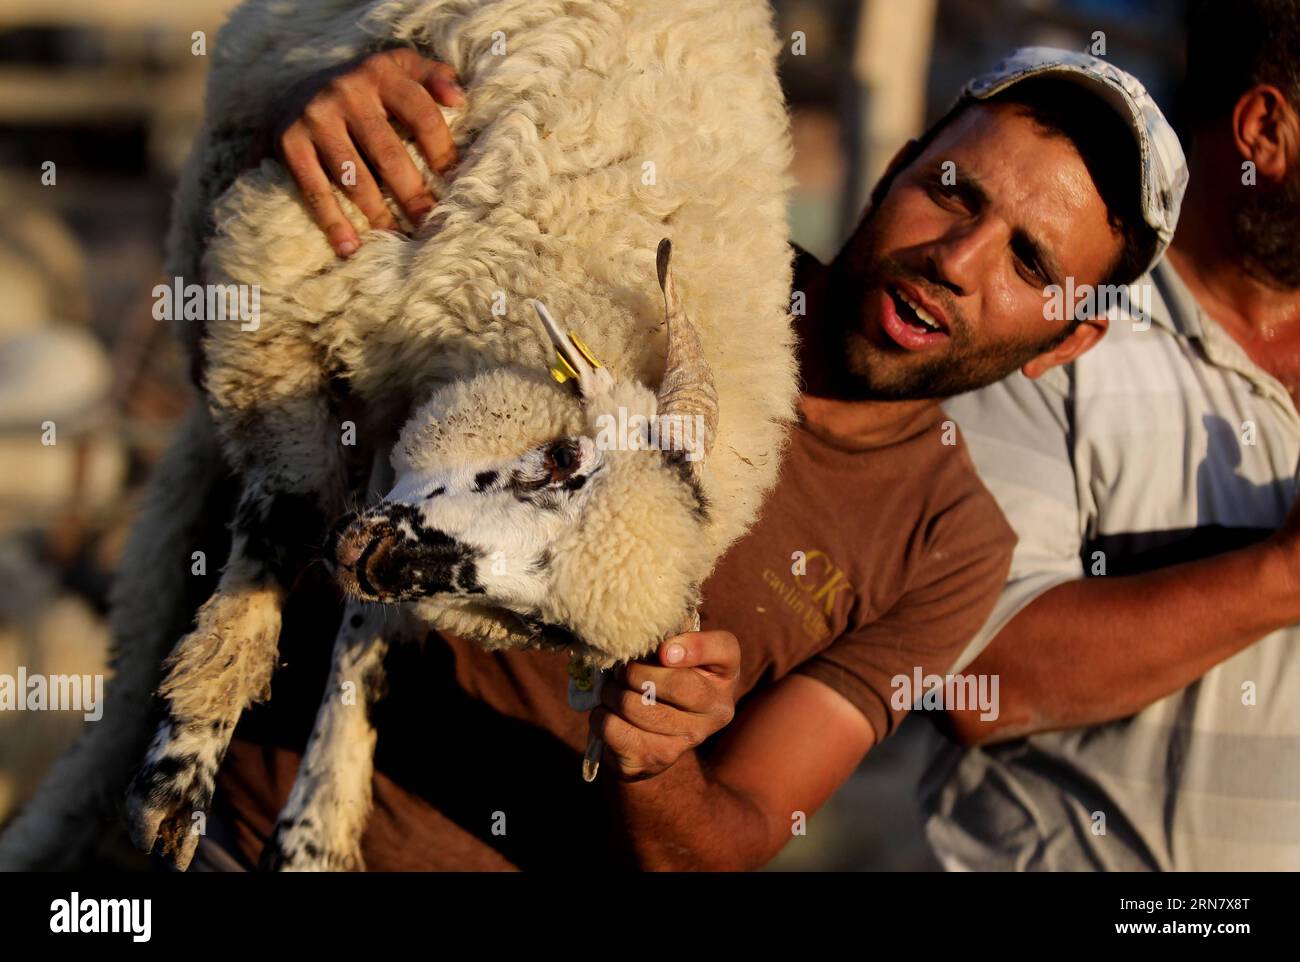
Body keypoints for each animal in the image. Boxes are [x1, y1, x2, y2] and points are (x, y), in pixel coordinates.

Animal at [0, 0, 796, 872]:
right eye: (563, 458)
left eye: (548, 630)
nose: (376, 558)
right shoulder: (283, 273)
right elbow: (290, 515)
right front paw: (180, 778)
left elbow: (367, 641)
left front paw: (316, 826)